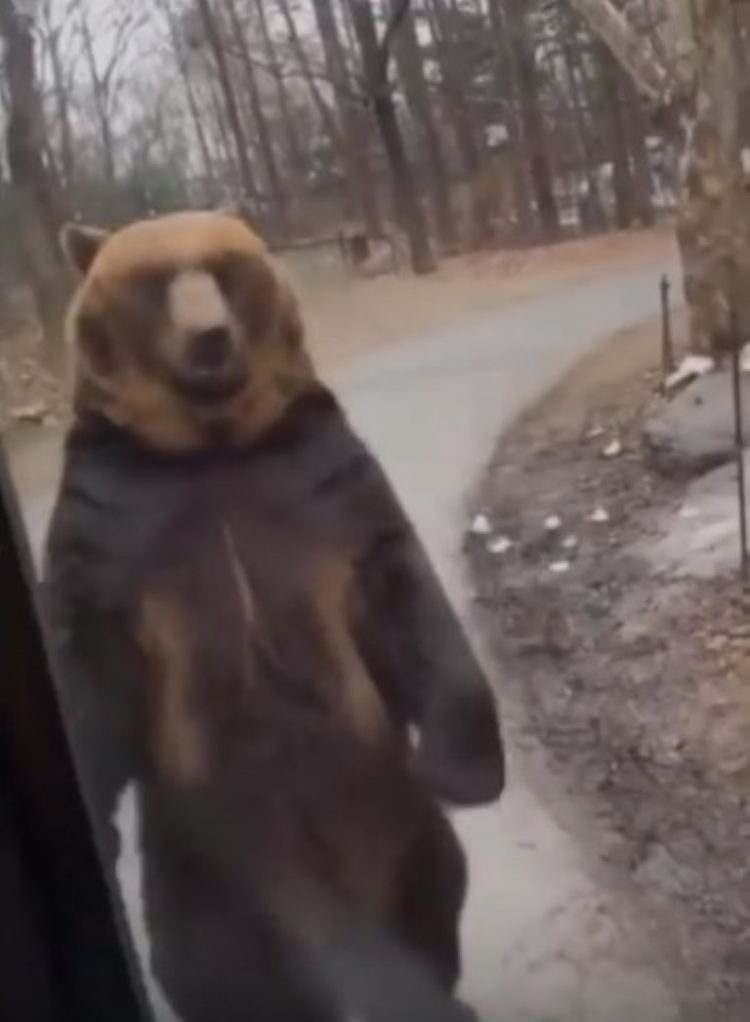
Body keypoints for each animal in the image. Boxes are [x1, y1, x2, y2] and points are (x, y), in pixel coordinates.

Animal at [43, 211, 504, 1019]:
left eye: (225, 268)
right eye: (153, 280)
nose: (209, 338)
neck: (211, 444)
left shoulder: (321, 484)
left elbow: (404, 595)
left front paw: (458, 765)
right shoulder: (114, 528)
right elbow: (88, 674)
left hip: (404, 828)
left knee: (438, 885)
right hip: (201, 870)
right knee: (207, 957)